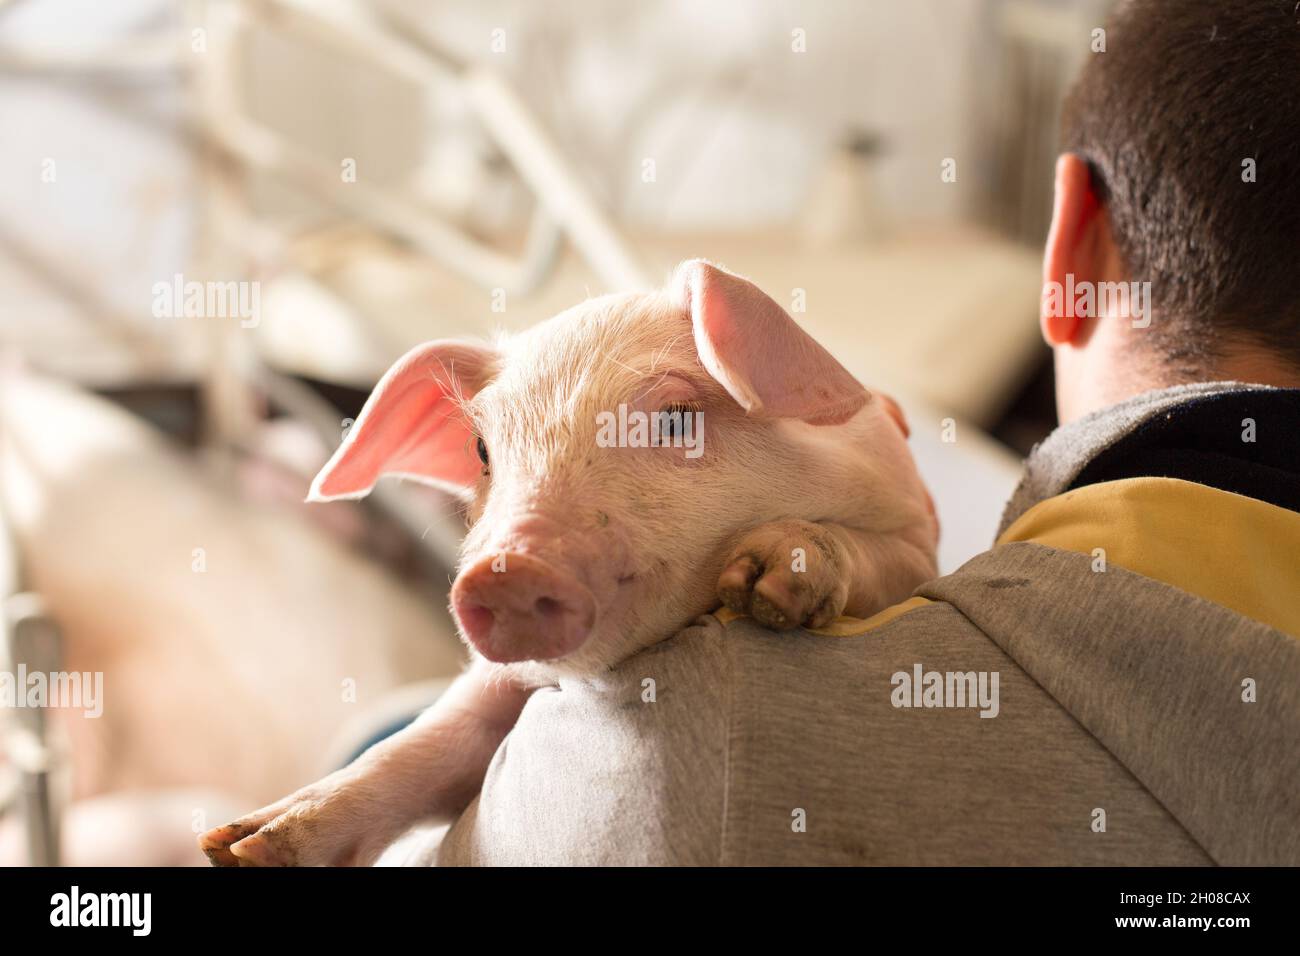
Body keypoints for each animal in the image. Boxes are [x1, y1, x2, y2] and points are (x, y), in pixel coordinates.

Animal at [199, 259, 938, 866]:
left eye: (676, 418)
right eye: (482, 449)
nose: (508, 569)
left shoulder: (916, 533)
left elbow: (881, 560)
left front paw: (767, 580)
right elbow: (432, 736)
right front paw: (238, 849)